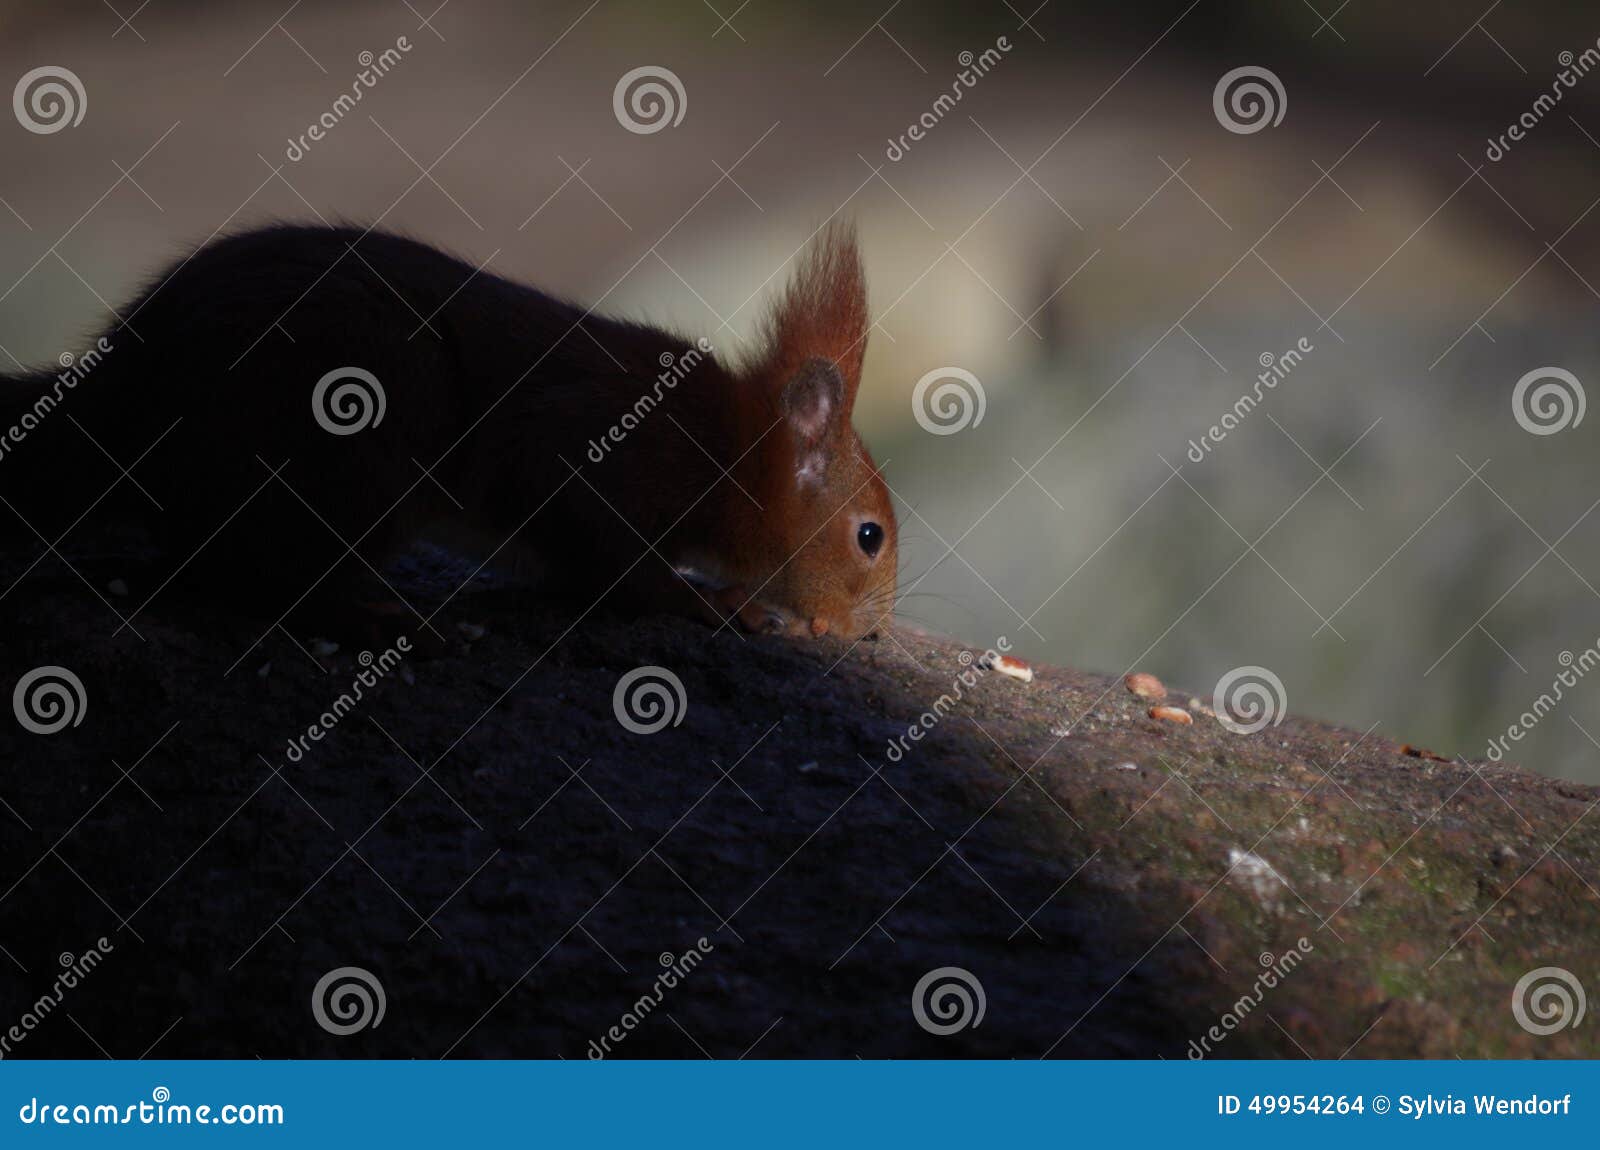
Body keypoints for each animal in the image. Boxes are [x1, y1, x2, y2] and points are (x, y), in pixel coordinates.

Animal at [0, 222, 897, 643]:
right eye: (869, 536)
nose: (871, 630)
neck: (737, 450)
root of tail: (117, 394)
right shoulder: (605, 446)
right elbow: (610, 557)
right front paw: (708, 601)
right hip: (351, 442)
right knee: (256, 579)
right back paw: (361, 618)